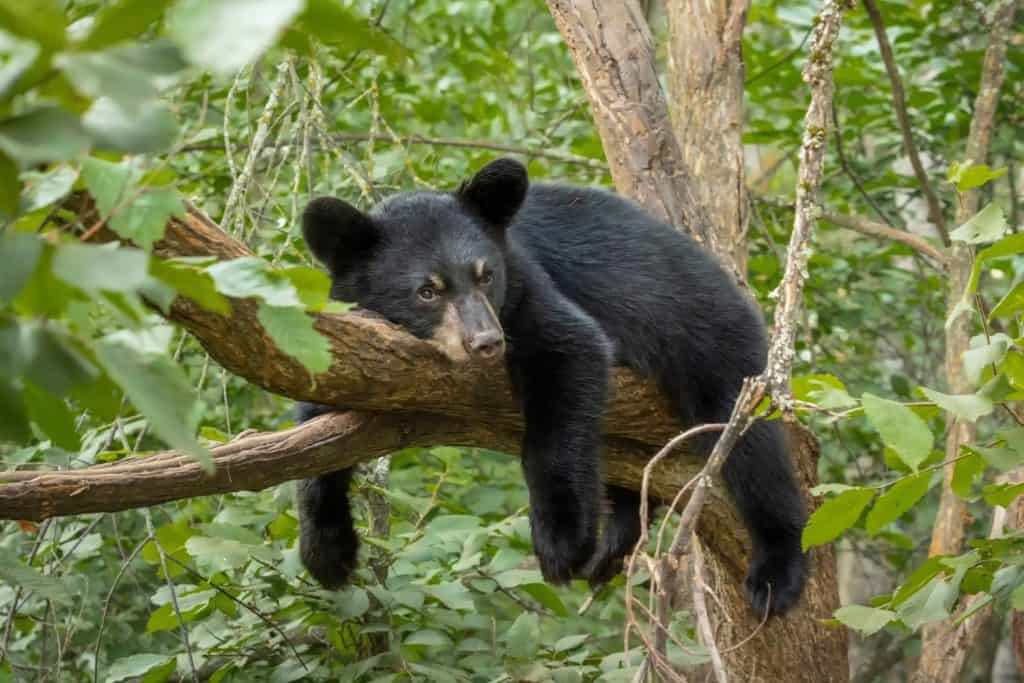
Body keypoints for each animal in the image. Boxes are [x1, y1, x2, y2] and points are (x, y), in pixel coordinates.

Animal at [296, 158, 808, 617]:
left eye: (486, 275)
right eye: (427, 290)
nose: (486, 342)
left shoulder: (527, 291)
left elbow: (571, 360)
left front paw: (562, 540)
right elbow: (320, 426)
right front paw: (328, 549)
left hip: (715, 342)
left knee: (754, 454)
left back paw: (775, 571)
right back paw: (616, 540)